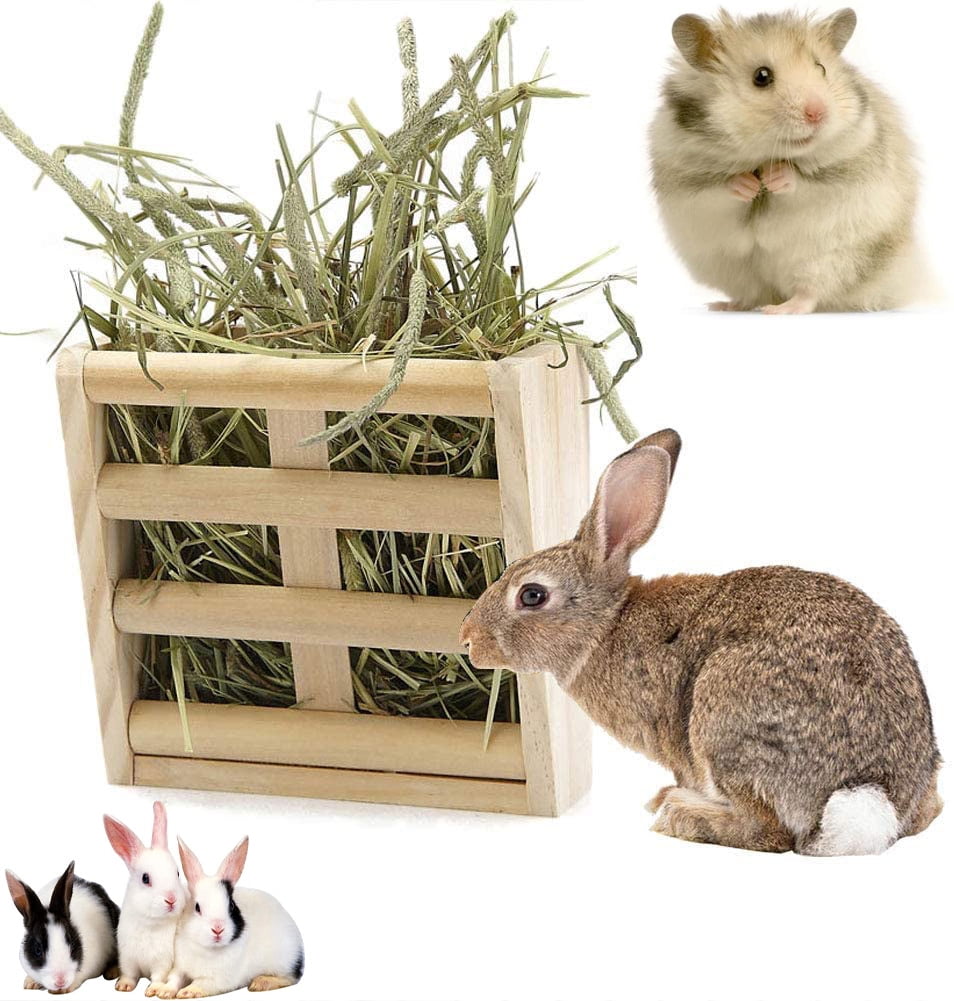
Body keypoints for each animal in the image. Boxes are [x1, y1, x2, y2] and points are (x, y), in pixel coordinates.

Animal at [5, 860, 120, 994]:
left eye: (72, 944)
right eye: (37, 950)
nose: (60, 981)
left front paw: (64, 989)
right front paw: (30, 983)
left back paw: (112, 972)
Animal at [103, 801, 185, 995]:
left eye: (177, 873)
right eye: (145, 878)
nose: (171, 899)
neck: (149, 923)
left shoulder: (162, 962)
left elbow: (158, 977)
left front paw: (153, 990)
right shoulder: (128, 959)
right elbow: (129, 975)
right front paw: (123, 986)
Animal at [151, 835, 304, 998]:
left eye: (231, 906)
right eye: (197, 907)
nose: (218, 929)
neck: (207, 949)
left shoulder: (218, 980)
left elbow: (200, 984)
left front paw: (187, 992)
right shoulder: (180, 968)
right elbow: (174, 979)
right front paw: (164, 992)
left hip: (284, 962)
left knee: (291, 977)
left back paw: (261, 983)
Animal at [460, 429, 943, 854]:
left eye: (532, 595)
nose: (467, 639)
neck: (607, 624)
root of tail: (871, 796)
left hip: (722, 717)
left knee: (769, 833)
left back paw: (680, 814)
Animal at [649, 9, 930, 313]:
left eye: (821, 68)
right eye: (761, 76)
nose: (818, 113)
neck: (764, 155)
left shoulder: (848, 168)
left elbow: (805, 183)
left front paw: (775, 178)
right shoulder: (685, 181)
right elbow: (718, 189)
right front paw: (748, 184)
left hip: (832, 259)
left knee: (811, 293)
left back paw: (780, 310)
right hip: (731, 268)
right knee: (754, 294)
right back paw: (724, 305)